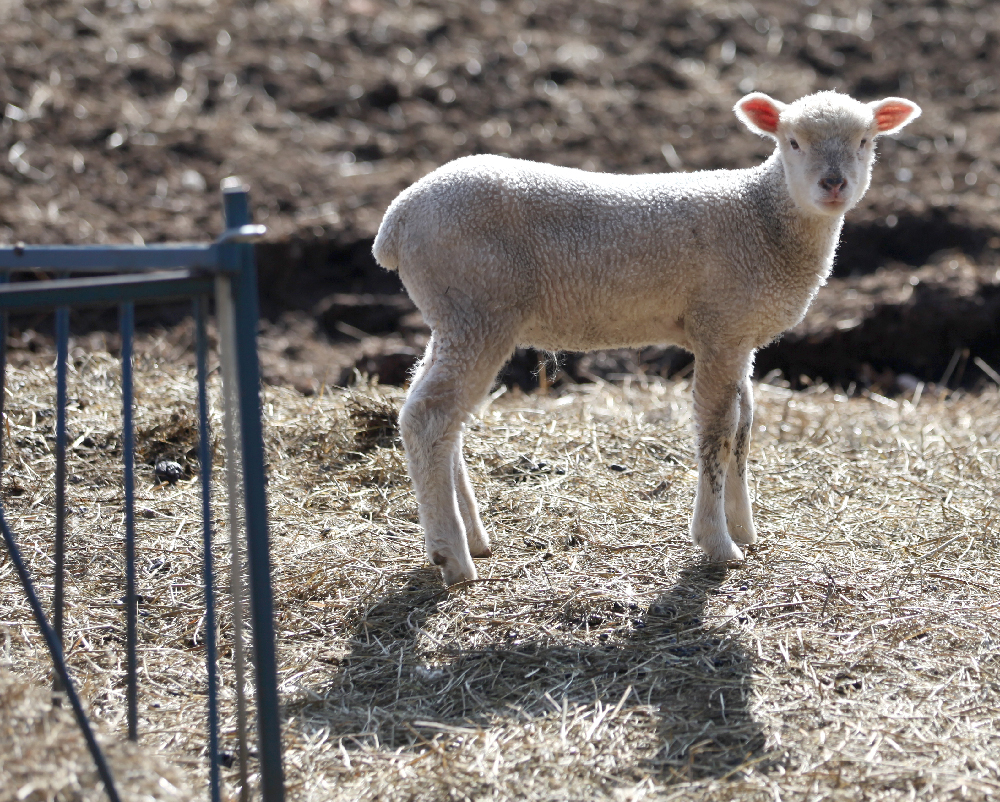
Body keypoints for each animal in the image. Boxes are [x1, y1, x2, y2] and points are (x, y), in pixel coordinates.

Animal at [373, 90, 921, 586]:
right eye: (792, 142)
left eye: (866, 141)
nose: (834, 184)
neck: (762, 216)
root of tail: (395, 220)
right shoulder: (719, 326)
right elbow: (717, 430)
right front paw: (717, 542)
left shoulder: (738, 332)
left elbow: (744, 425)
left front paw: (744, 528)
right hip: (476, 307)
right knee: (429, 417)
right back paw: (453, 558)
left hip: (453, 317)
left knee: (439, 417)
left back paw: (473, 538)